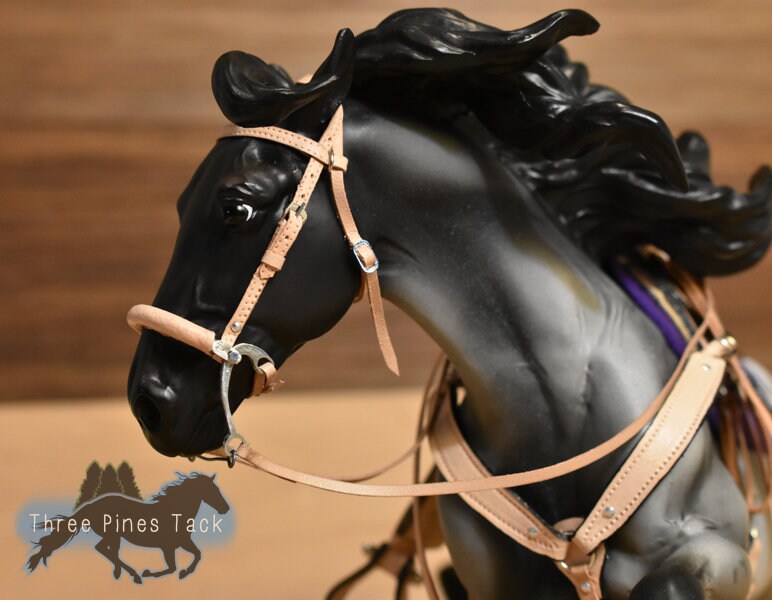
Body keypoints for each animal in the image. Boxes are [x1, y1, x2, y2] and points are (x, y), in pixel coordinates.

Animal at [26, 472, 229, 583]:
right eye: (213, 490)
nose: (225, 509)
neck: (175, 512)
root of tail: (91, 506)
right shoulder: (168, 546)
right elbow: (172, 567)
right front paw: (150, 573)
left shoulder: (182, 543)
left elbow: (197, 555)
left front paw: (184, 572)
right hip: (111, 534)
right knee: (101, 548)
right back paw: (135, 575)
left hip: (116, 537)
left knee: (110, 552)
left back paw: (121, 573)